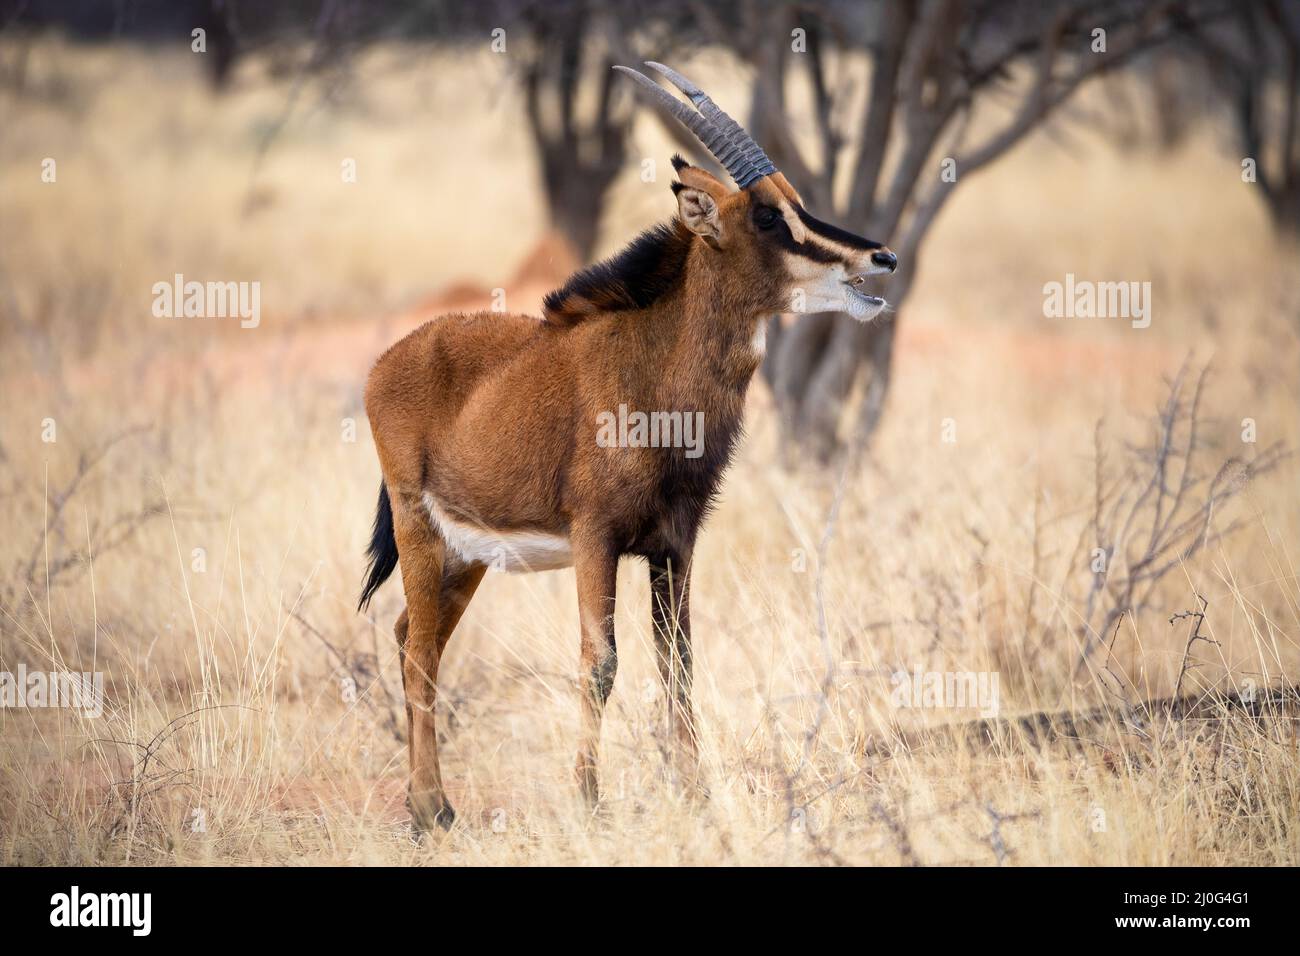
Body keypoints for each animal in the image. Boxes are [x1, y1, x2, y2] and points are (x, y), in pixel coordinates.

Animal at [358, 62, 896, 832]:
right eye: (767, 216)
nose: (882, 256)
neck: (655, 368)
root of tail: (389, 361)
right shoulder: (596, 539)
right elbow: (601, 662)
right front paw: (588, 799)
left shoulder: (675, 545)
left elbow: (681, 664)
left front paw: (695, 794)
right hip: (419, 531)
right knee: (422, 654)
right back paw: (435, 810)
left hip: (467, 554)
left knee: (410, 636)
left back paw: (421, 801)